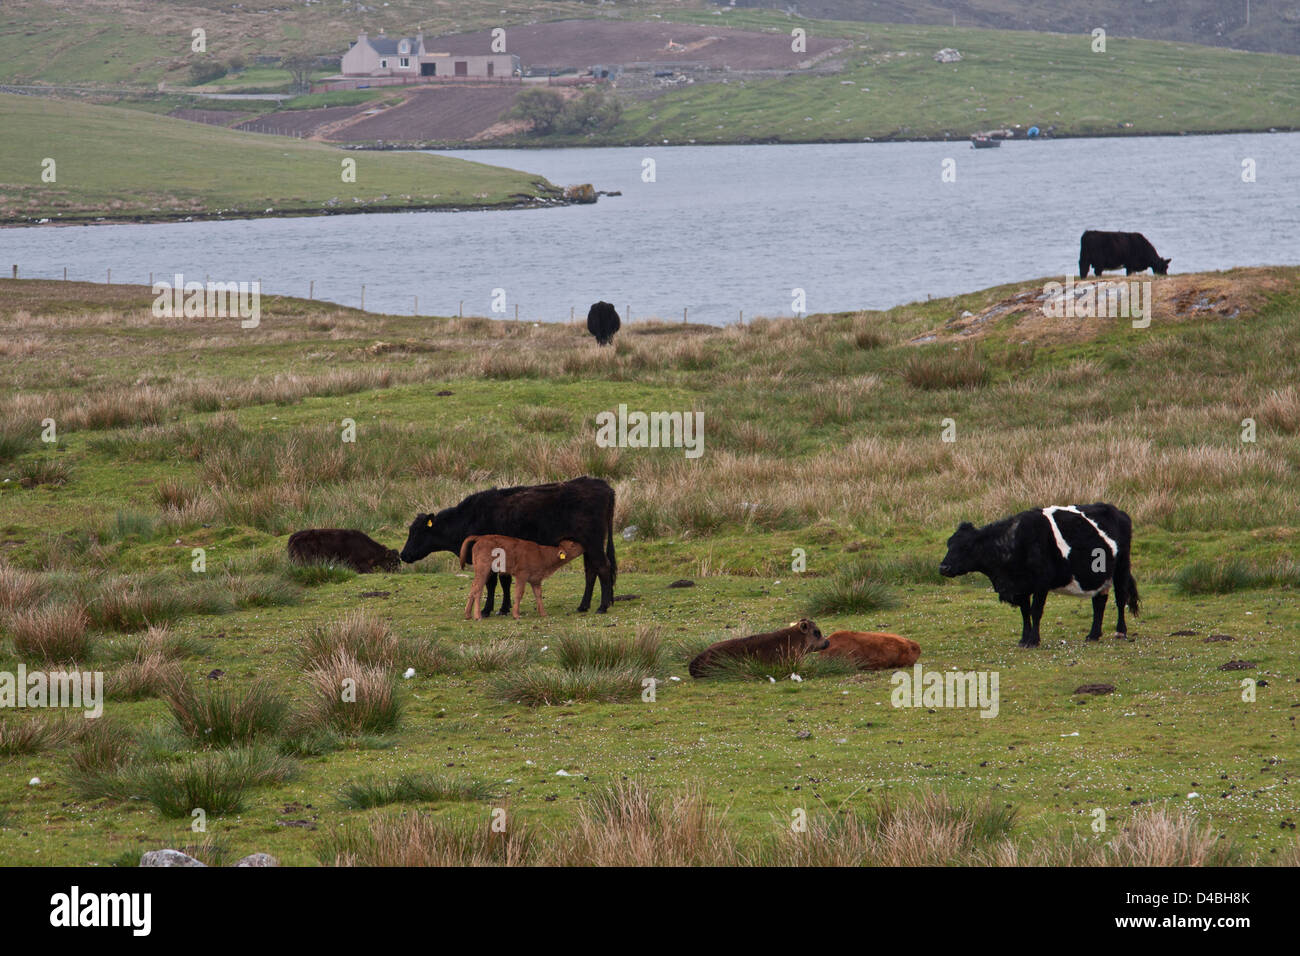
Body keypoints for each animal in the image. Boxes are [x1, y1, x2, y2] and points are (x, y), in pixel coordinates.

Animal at [400, 476, 616, 614]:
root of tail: (603, 486)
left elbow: (492, 582)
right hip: (587, 544)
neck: (469, 518)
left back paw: (602, 607)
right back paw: (583, 606)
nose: (403, 554)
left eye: (417, 532)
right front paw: (504, 608)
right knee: (591, 571)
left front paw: (487, 610)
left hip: (593, 541)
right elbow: (503, 581)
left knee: (603, 567)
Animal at [939, 503, 1139, 647]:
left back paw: (1120, 631)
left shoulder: (1041, 583)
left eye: (966, 546)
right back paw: (1093, 635)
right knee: (1099, 603)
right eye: (949, 544)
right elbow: (1024, 612)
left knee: (1120, 598)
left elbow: (1035, 611)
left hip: (1121, 567)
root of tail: (1117, 511)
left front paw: (1034, 640)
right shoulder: (1021, 586)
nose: (943, 567)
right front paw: (1024, 639)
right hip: (1102, 576)